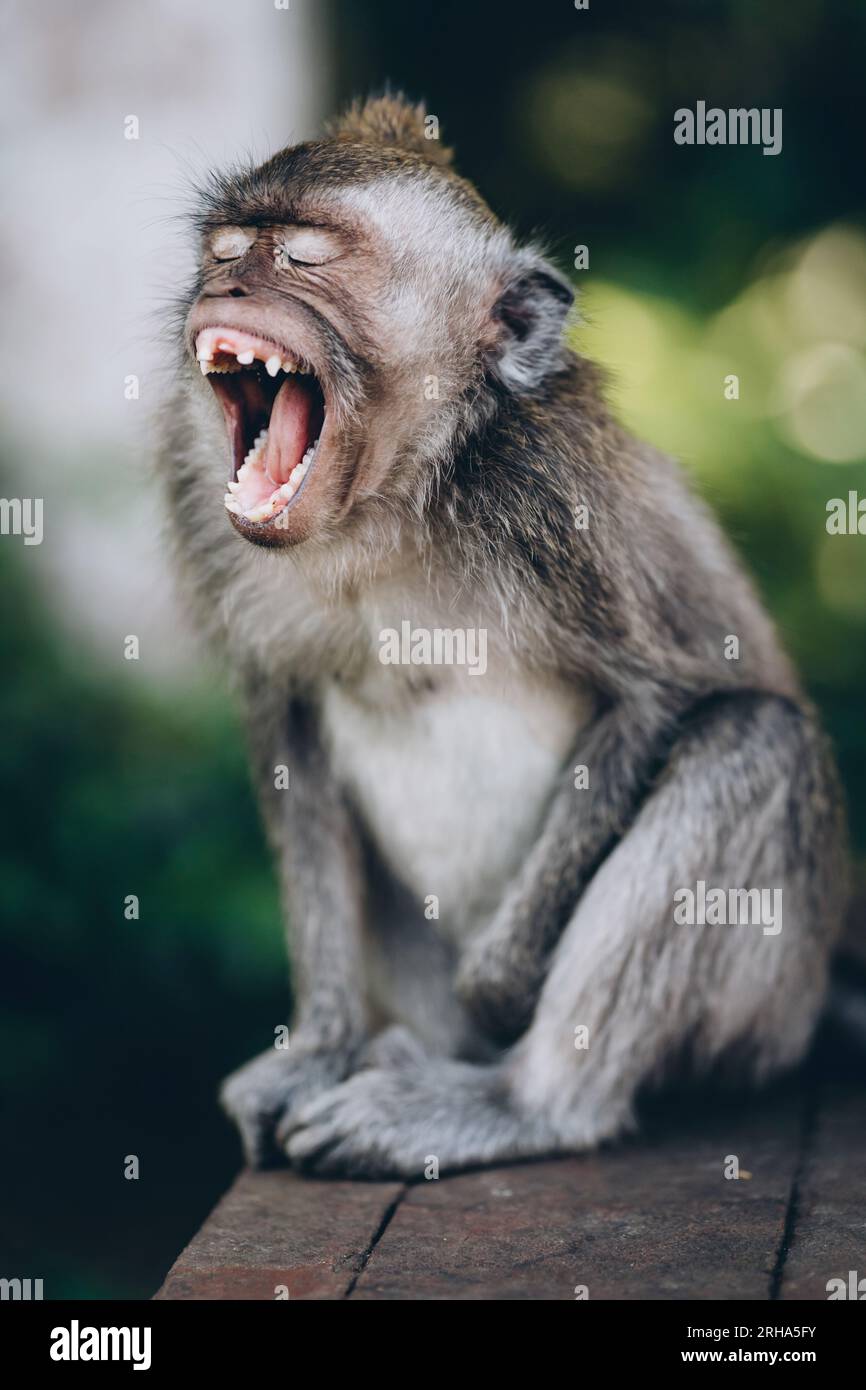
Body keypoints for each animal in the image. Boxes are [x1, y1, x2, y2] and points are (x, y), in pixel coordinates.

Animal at [157, 95, 847, 1178]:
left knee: (754, 741)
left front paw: (501, 983)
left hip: (771, 1001)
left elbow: (664, 694)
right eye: (227, 247)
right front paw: (320, 1044)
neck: (388, 505)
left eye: (305, 258)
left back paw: (519, 1100)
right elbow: (288, 729)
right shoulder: (199, 492)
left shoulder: (562, 491)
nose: (226, 283)